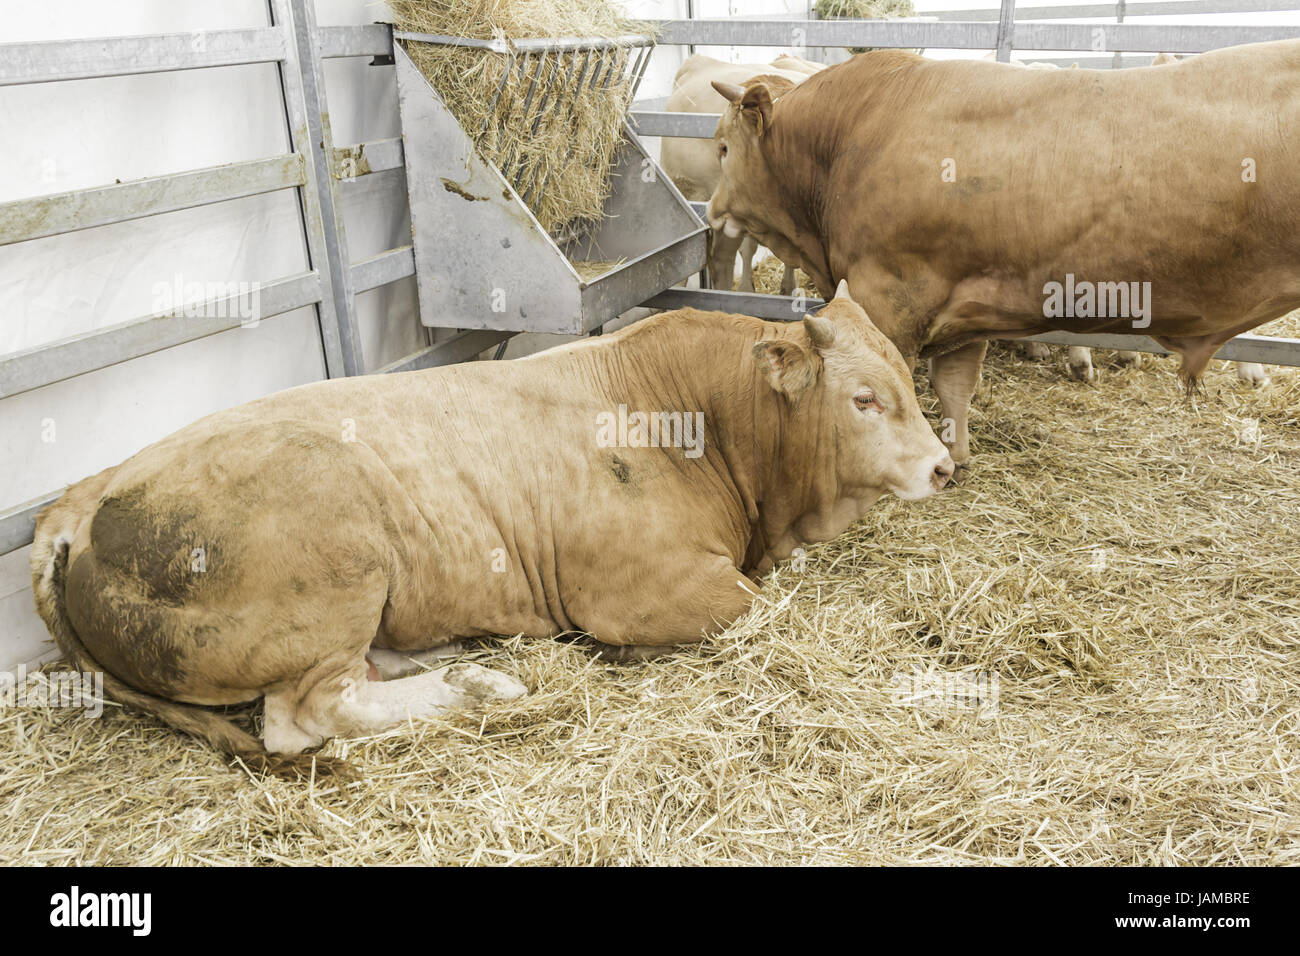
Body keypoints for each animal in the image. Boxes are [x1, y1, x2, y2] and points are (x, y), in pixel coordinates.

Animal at [31, 288, 954, 773]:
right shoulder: (648, 592)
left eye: (906, 381)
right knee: (309, 715)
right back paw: (481, 687)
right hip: (333, 575)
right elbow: (759, 609)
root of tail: (86, 494)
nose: (945, 466)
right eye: (864, 399)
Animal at [705, 41, 1300, 468]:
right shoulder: (964, 302)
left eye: (724, 147)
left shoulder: (888, 291)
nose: (711, 210)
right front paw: (954, 455)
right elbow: (954, 386)